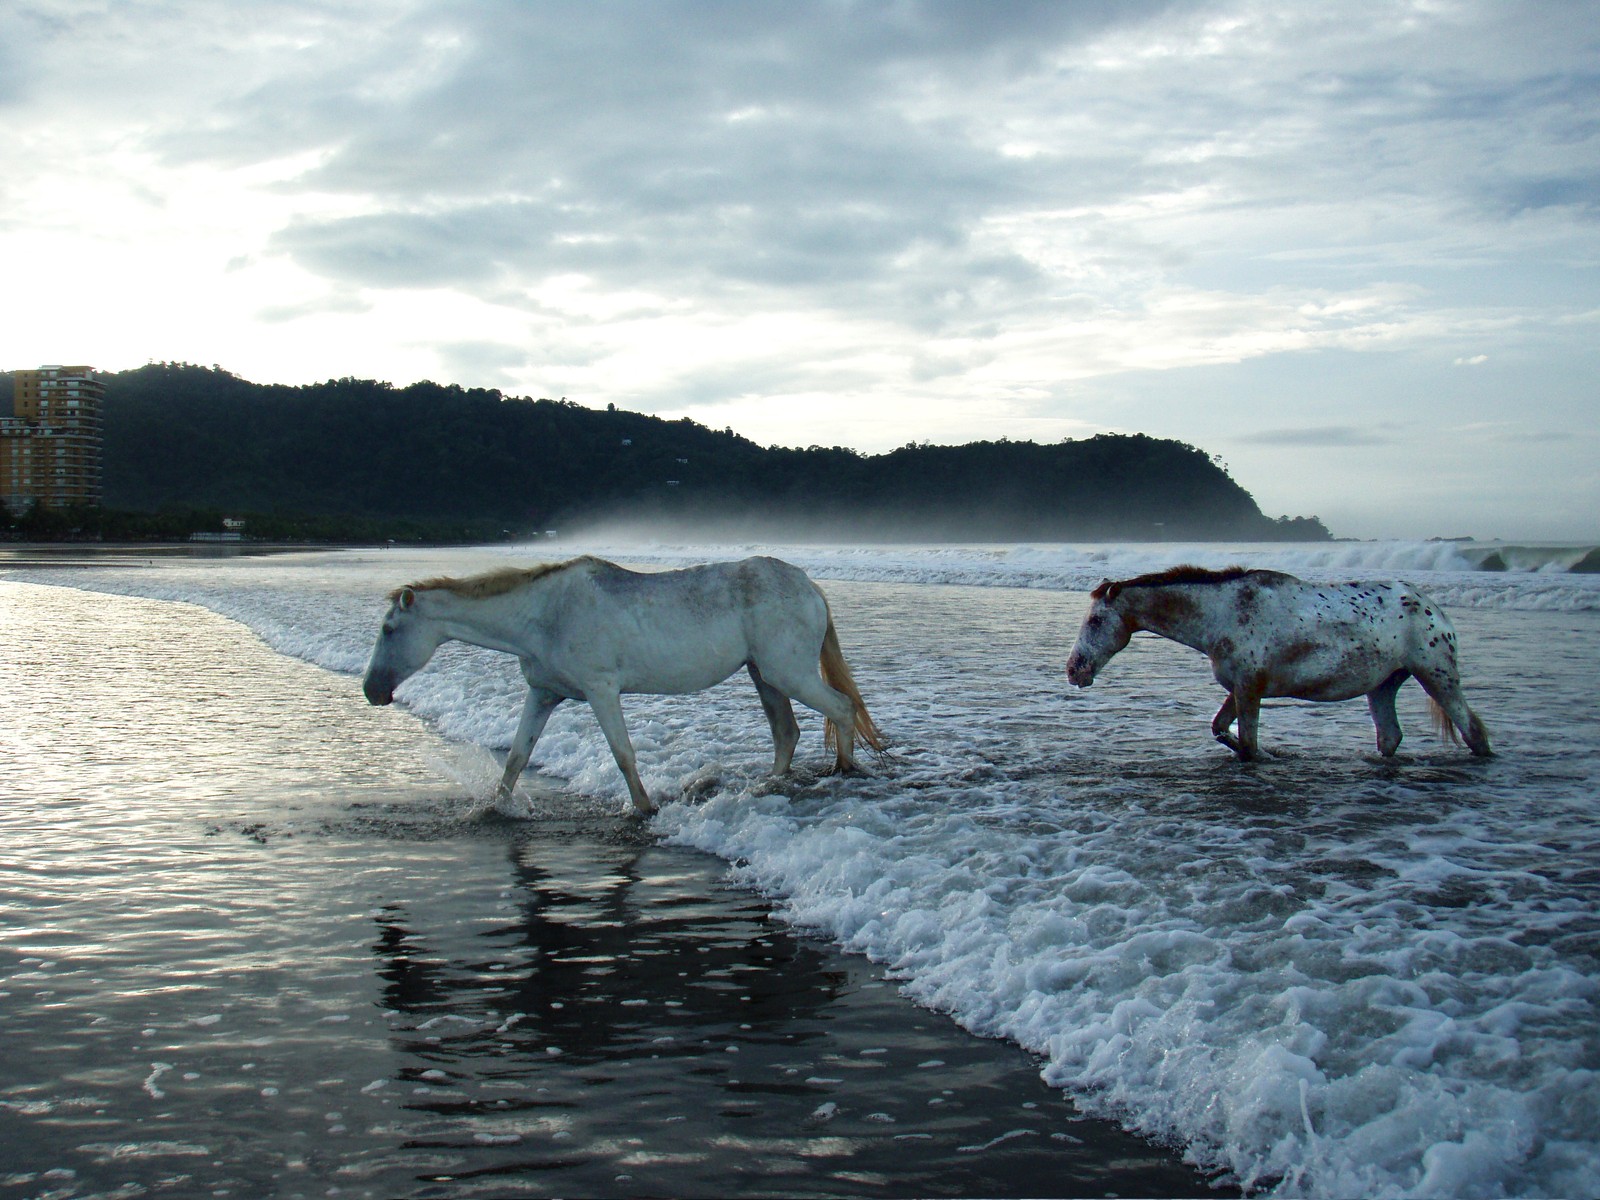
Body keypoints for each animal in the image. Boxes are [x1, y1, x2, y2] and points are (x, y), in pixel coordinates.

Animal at [362, 555, 885, 813]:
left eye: (389, 629)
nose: (372, 691)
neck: (544, 615)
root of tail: (809, 585)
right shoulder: (542, 695)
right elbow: (516, 758)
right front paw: (495, 808)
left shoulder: (601, 691)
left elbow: (623, 754)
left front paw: (643, 808)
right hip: (764, 674)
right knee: (786, 733)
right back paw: (769, 785)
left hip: (787, 673)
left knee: (840, 709)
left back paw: (843, 773)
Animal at [1064, 565, 1492, 761]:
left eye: (1096, 621)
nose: (1074, 669)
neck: (1222, 613)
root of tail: (1433, 607)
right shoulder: (1238, 689)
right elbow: (1221, 730)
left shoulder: (1250, 689)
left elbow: (1248, 745)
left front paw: (1265, 755)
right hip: (1383, 685)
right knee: (1389, 737)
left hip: (1436, 674)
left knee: (1472, 730)